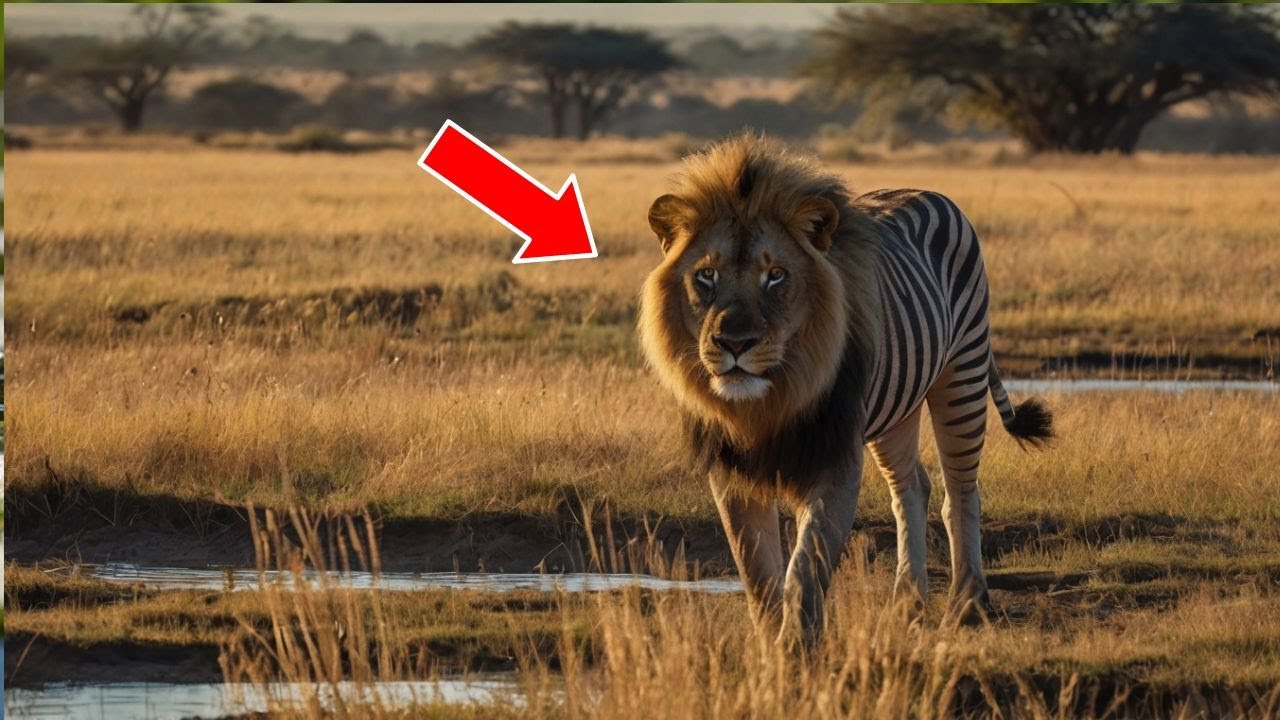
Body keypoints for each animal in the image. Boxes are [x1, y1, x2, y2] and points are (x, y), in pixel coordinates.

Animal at [638, 134, 1053, 644]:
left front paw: (796, 647)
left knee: (961, 492)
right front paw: (769, 641)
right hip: (896, 406)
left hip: (964, 372)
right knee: (912, 485)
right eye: (707, 275)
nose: (734, 343)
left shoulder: (834, 455)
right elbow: (756, 567)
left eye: (775, 276)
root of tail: (931, 192)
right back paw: (906, 602)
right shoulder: (730, 466)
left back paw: (968, 604)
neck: (769, 400)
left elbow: (807, 561)